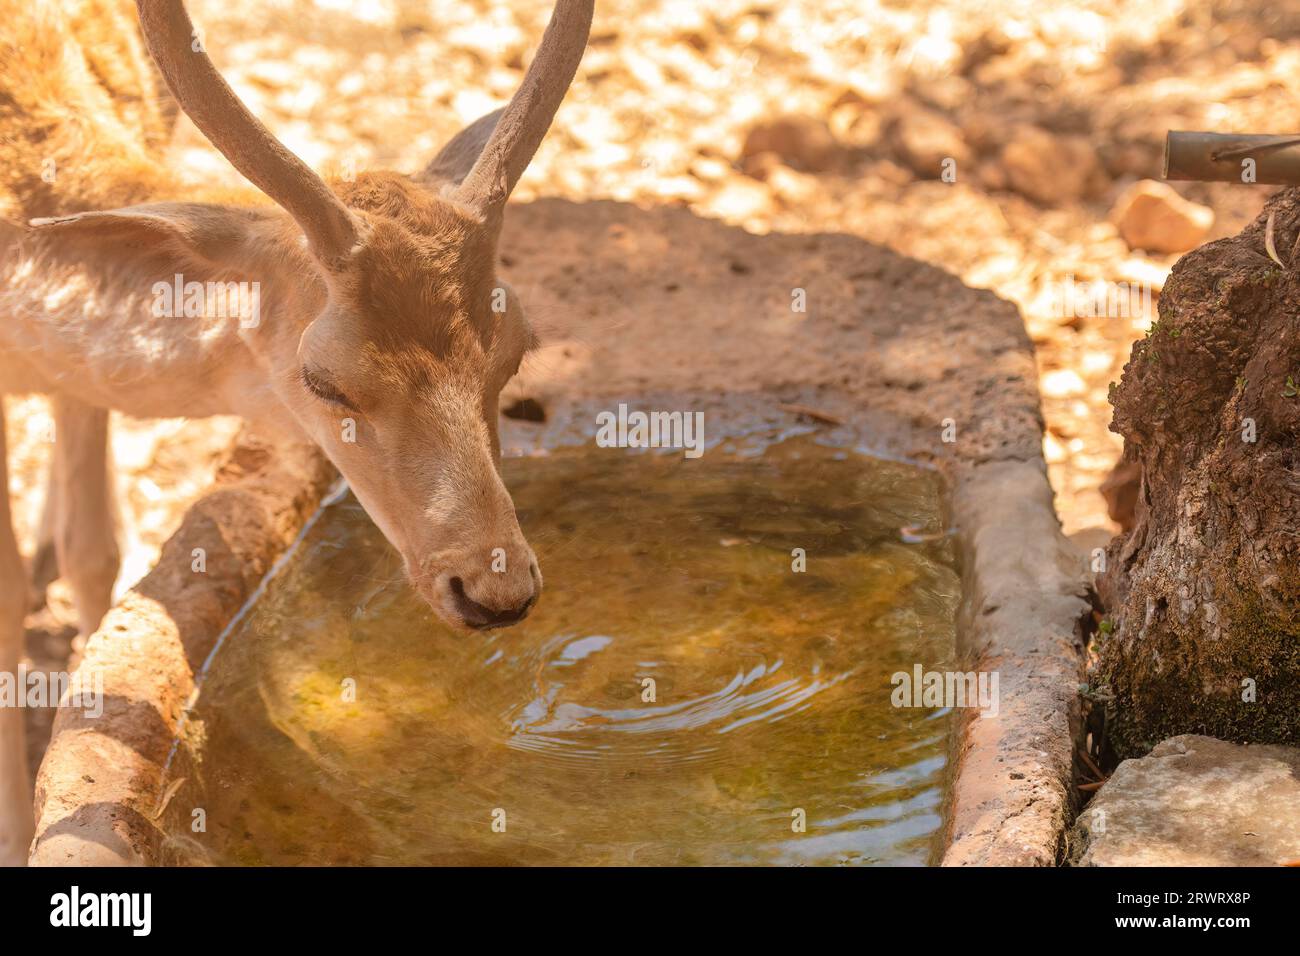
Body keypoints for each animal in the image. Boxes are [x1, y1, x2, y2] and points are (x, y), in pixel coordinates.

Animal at [0, 0, 594, 864]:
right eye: (325, 379)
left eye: (516, 349)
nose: (496, 587)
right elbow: (9, 586)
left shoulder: (69, 379)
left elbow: (93, 549)